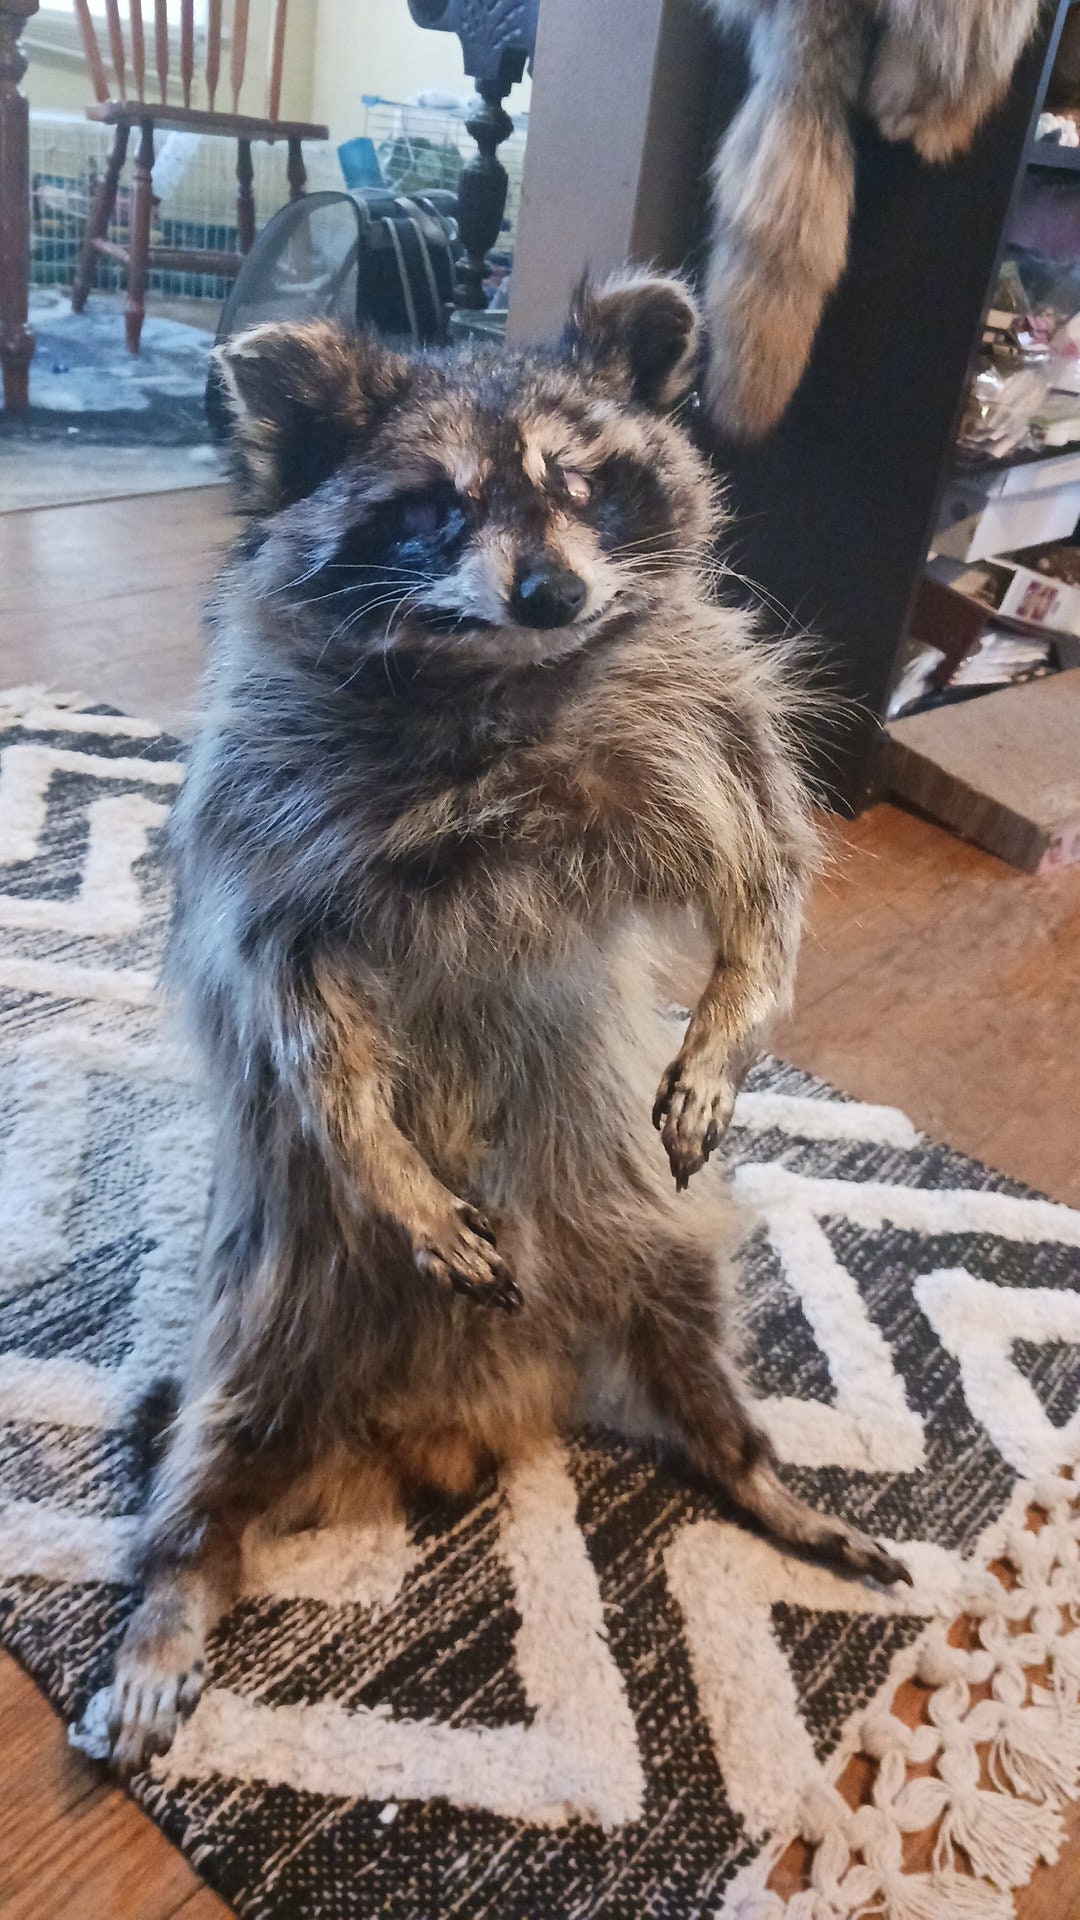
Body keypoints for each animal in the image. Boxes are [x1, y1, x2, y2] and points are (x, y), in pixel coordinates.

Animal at [106, 273, 910, 1777]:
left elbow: (763, 868)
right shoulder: (262, 813)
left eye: (583, 483)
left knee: (696, 1338)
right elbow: (295, 1009)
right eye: (435, 504)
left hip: (644, 1236)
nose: (552, 590)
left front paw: (731, 1010)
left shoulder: (710, 717)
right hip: (274, 1288)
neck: (491, 672)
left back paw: (753, 1470)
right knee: (212, 1444)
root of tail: (464, 1408)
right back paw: (175, 1585)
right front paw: (381, 1145)